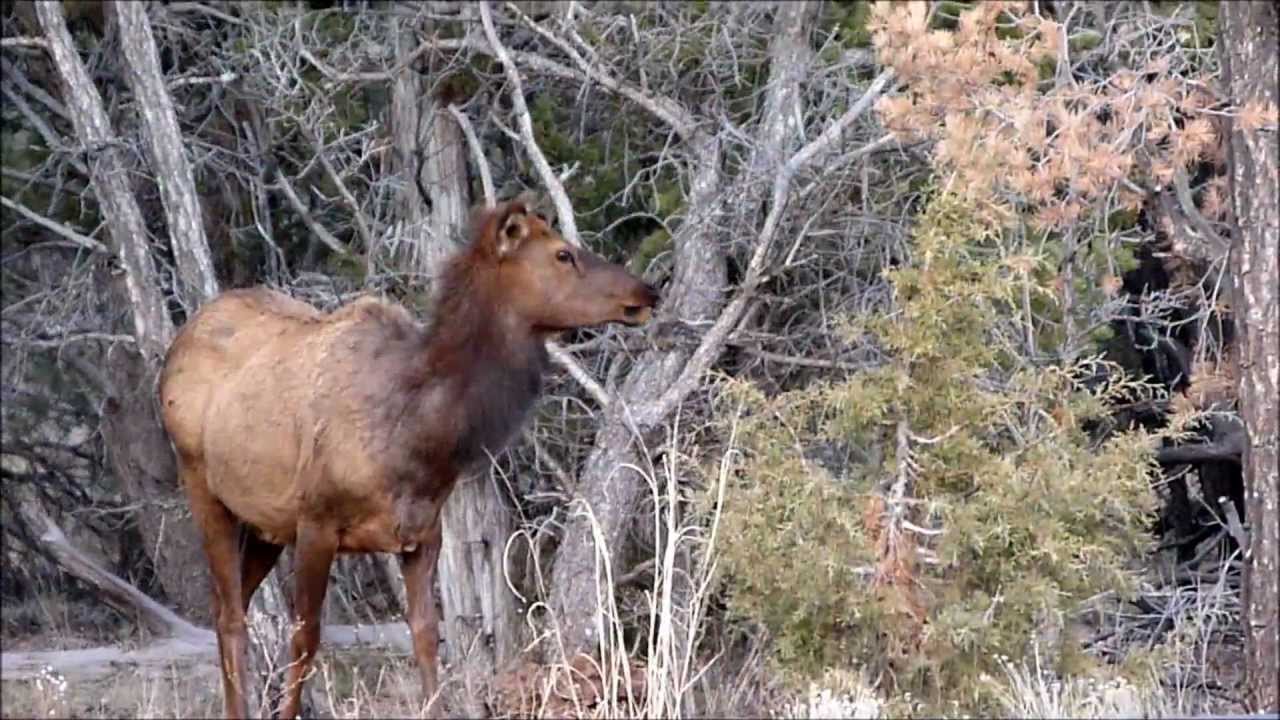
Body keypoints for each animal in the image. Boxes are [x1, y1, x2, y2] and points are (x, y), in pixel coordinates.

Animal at [157, 194, 660, 719]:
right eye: (563, 254)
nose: (648, 291)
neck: (421, 439)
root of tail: (178, 345)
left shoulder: (422, 535)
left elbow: (426, 638)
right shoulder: (316, 522)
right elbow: (306, 639)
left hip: (265, 524)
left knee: (228, 605)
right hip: (201, 483)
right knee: (231, 615)